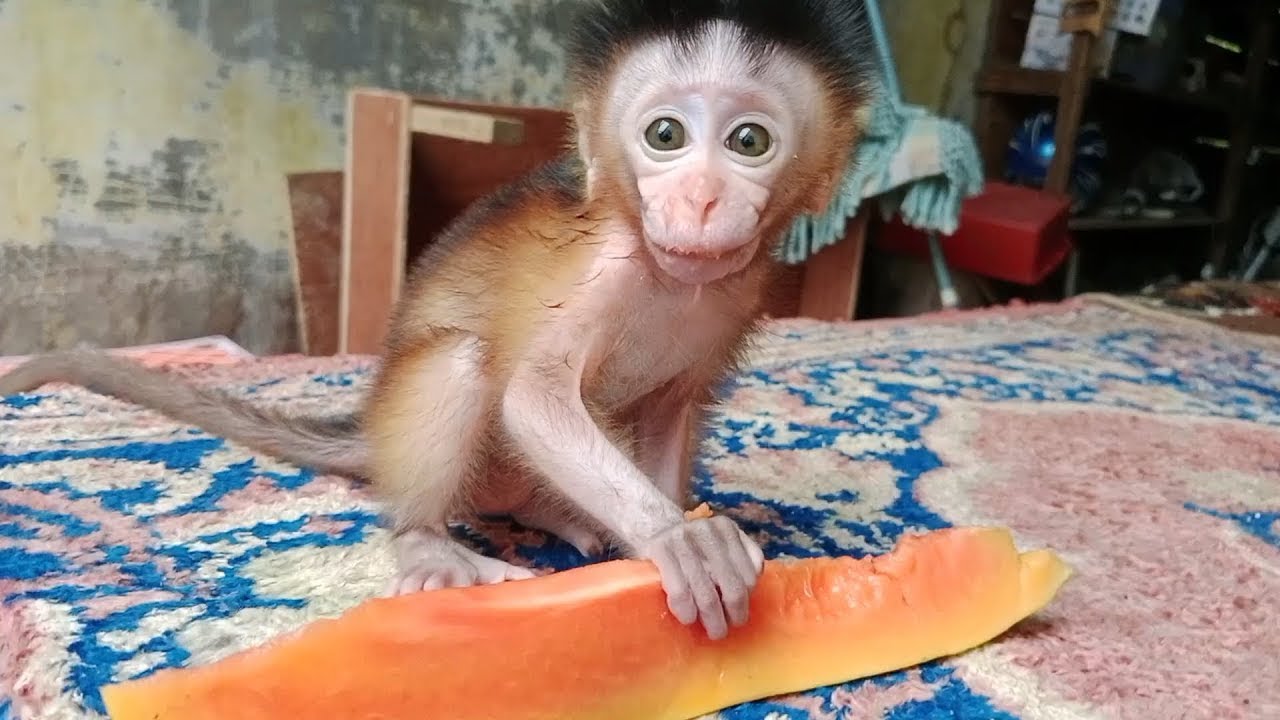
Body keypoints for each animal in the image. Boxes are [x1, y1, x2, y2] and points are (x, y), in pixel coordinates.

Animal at [0, 0, 875, 640]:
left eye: (748, 141)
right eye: (666, 135)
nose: (699, 199)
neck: (666, 275)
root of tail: (373, 431)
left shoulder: (733, 300)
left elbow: (670, 410)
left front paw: (660, 537)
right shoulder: (603, 277)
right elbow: (533, 398)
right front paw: (675, 539)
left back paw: (560, 516)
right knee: (459, 363)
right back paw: (432, 542)